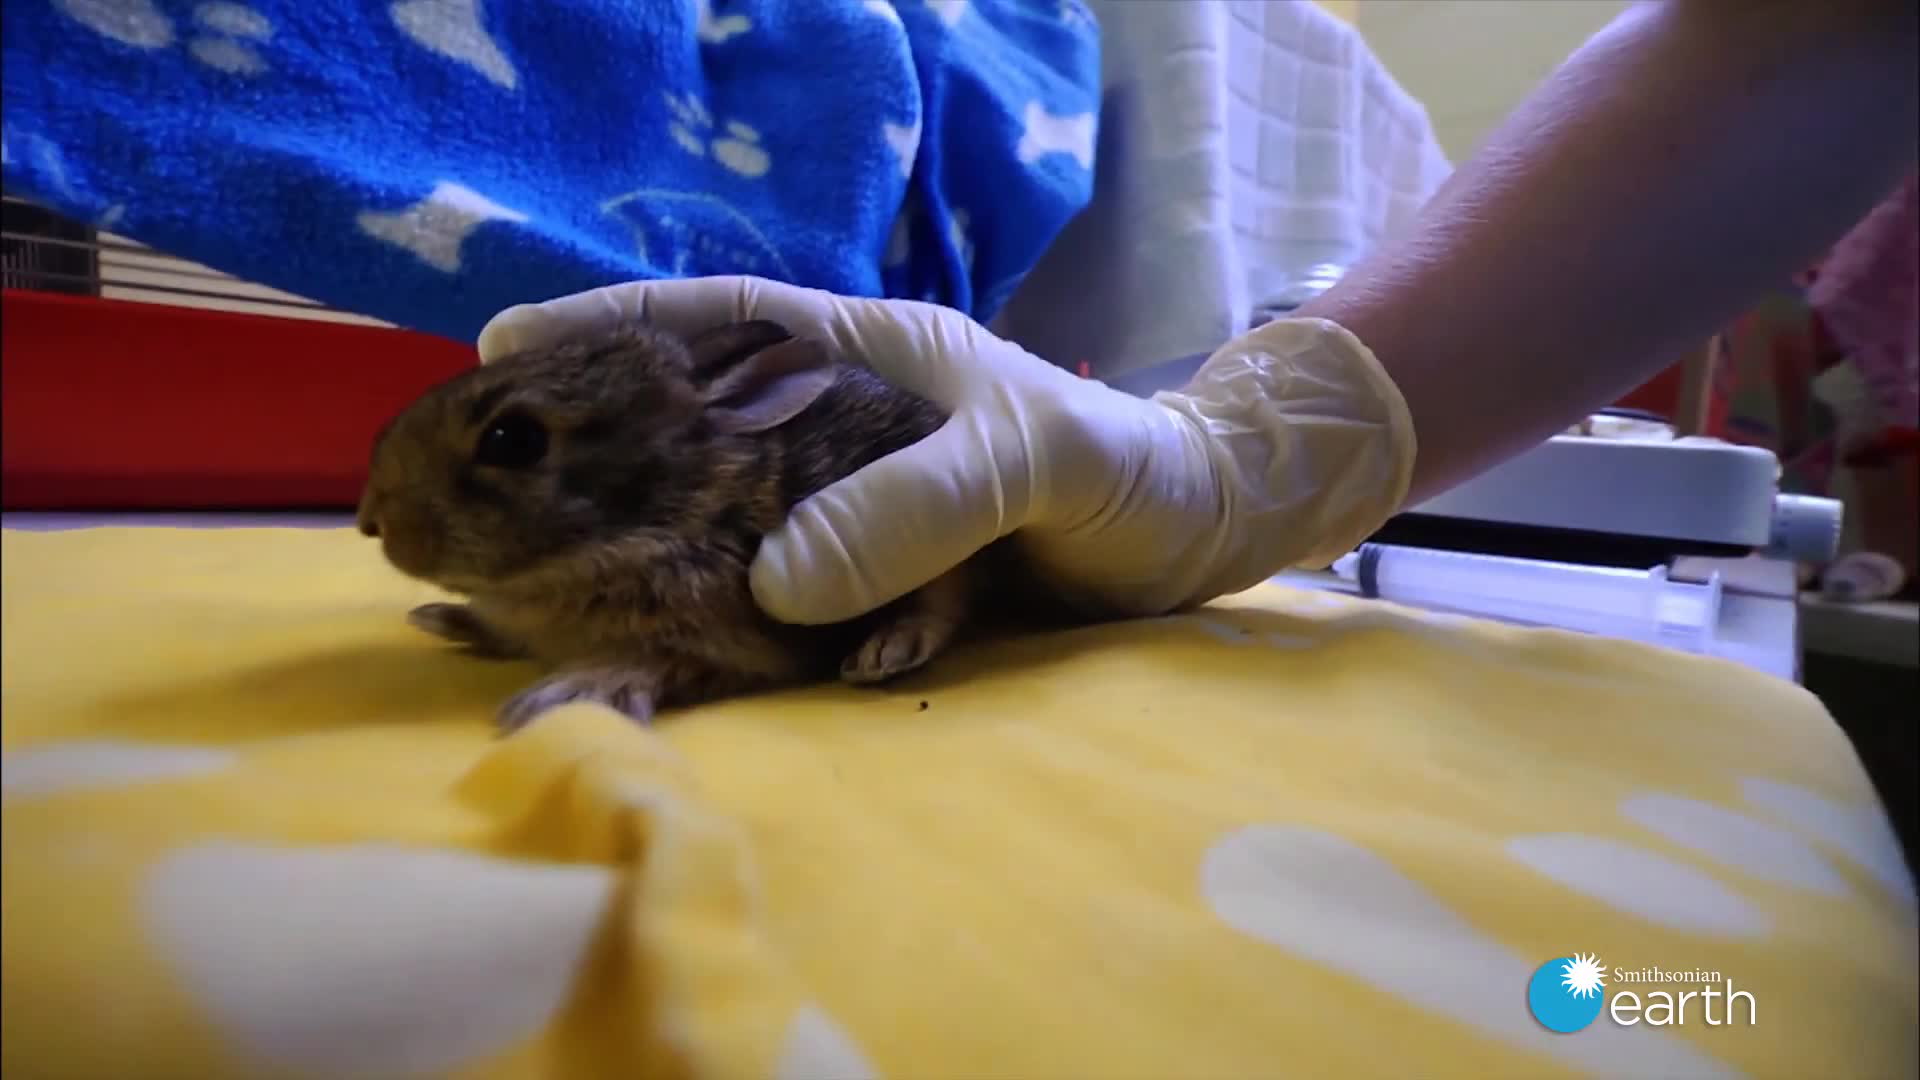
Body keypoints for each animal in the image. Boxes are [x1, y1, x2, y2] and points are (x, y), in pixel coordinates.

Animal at [356, 317, 1005, 733]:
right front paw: (444, 619)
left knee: (946, 597)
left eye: (512, 440)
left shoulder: (731, 644)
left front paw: (560, 695)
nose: (370, 522)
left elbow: (651, 664)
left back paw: (888, 649)